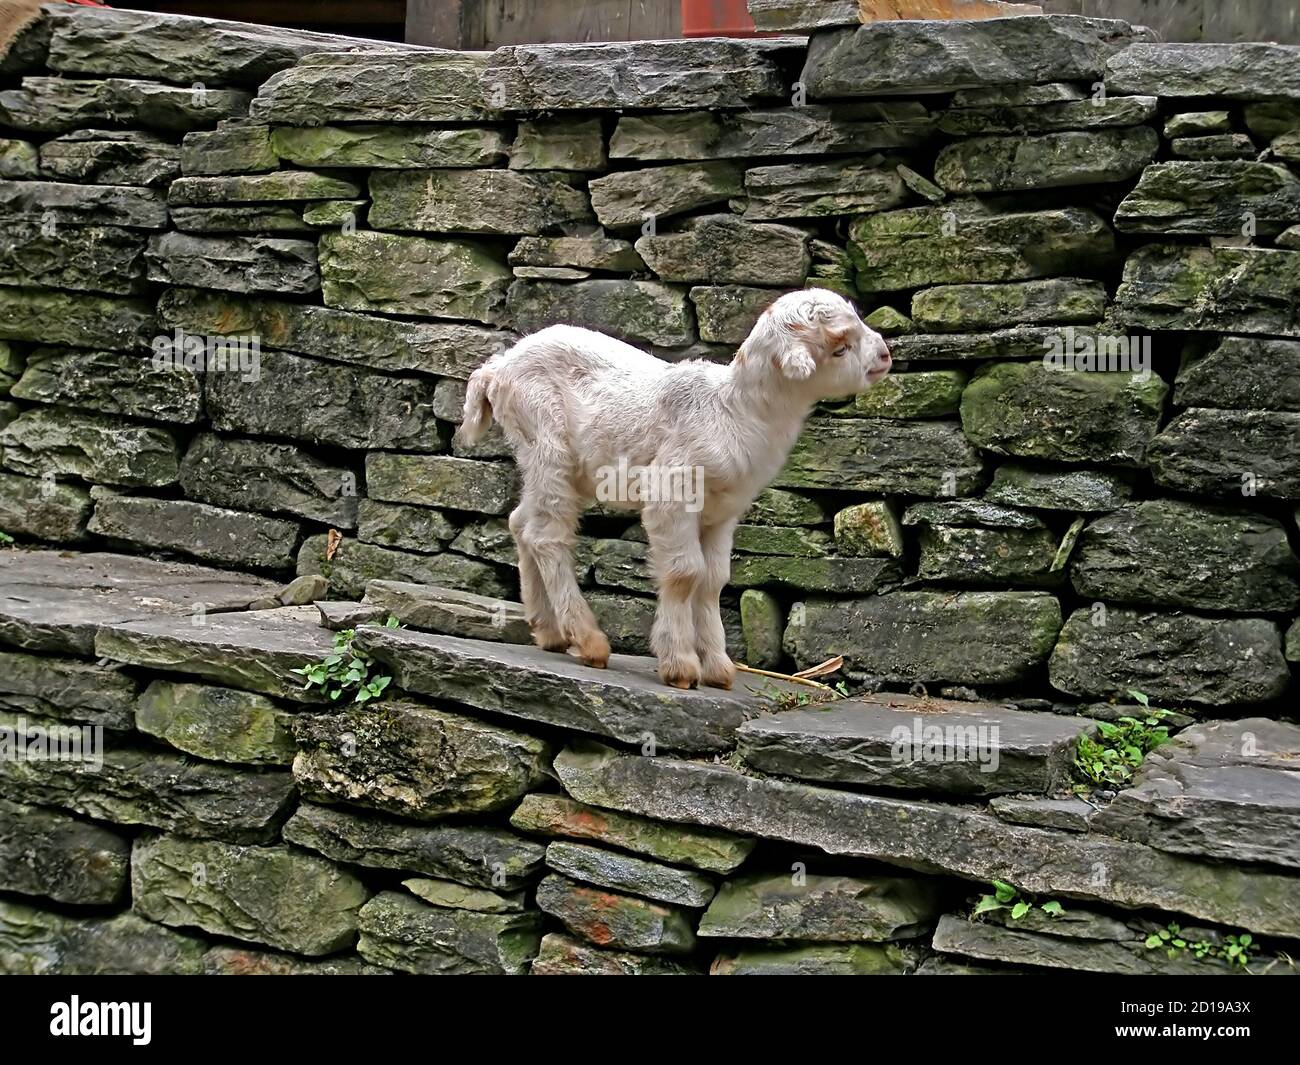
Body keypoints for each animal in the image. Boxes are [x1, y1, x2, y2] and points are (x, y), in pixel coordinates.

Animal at [459, 287, 892, 690]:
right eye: (839, 347)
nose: (885, 356)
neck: (734, 411)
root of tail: (498, 367)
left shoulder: (722, 513)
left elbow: (713, 580)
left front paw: (717, 667)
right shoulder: (672, 492)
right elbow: (685, 573)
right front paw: (681, 665)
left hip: (553, 462)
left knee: (522, 524)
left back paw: (548, 630)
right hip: (546, 443)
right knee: (547, 536)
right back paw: (588, 640)